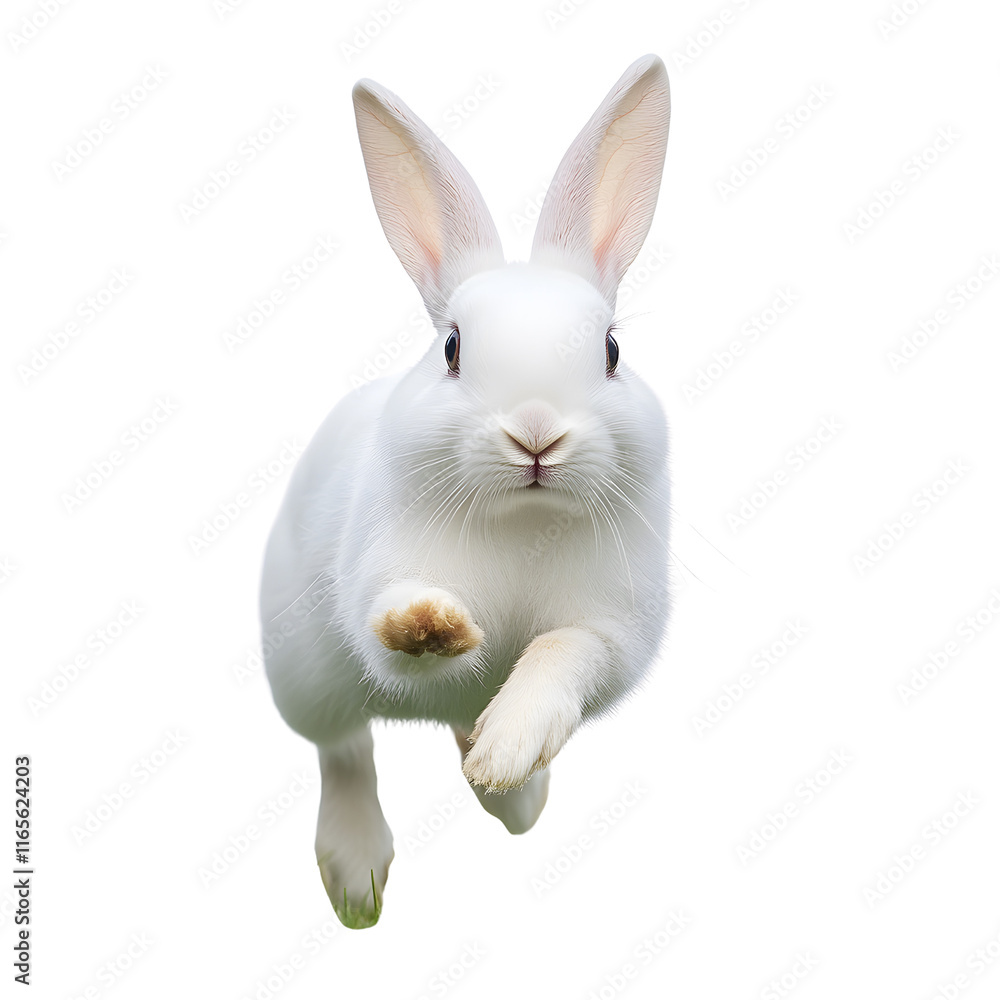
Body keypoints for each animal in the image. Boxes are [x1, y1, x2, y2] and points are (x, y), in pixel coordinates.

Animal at [260, 53, 672, 928]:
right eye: (451, 347)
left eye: (612, 351)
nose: (536, 433)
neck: (524, 517)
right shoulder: (377, 596)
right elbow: (398, 635)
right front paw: (432, 622)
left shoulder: (613, 631)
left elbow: (563, 653)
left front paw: (509, 749)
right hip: (305, 679)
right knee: (343, 749)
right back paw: (355, 878)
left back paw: (516, 795)